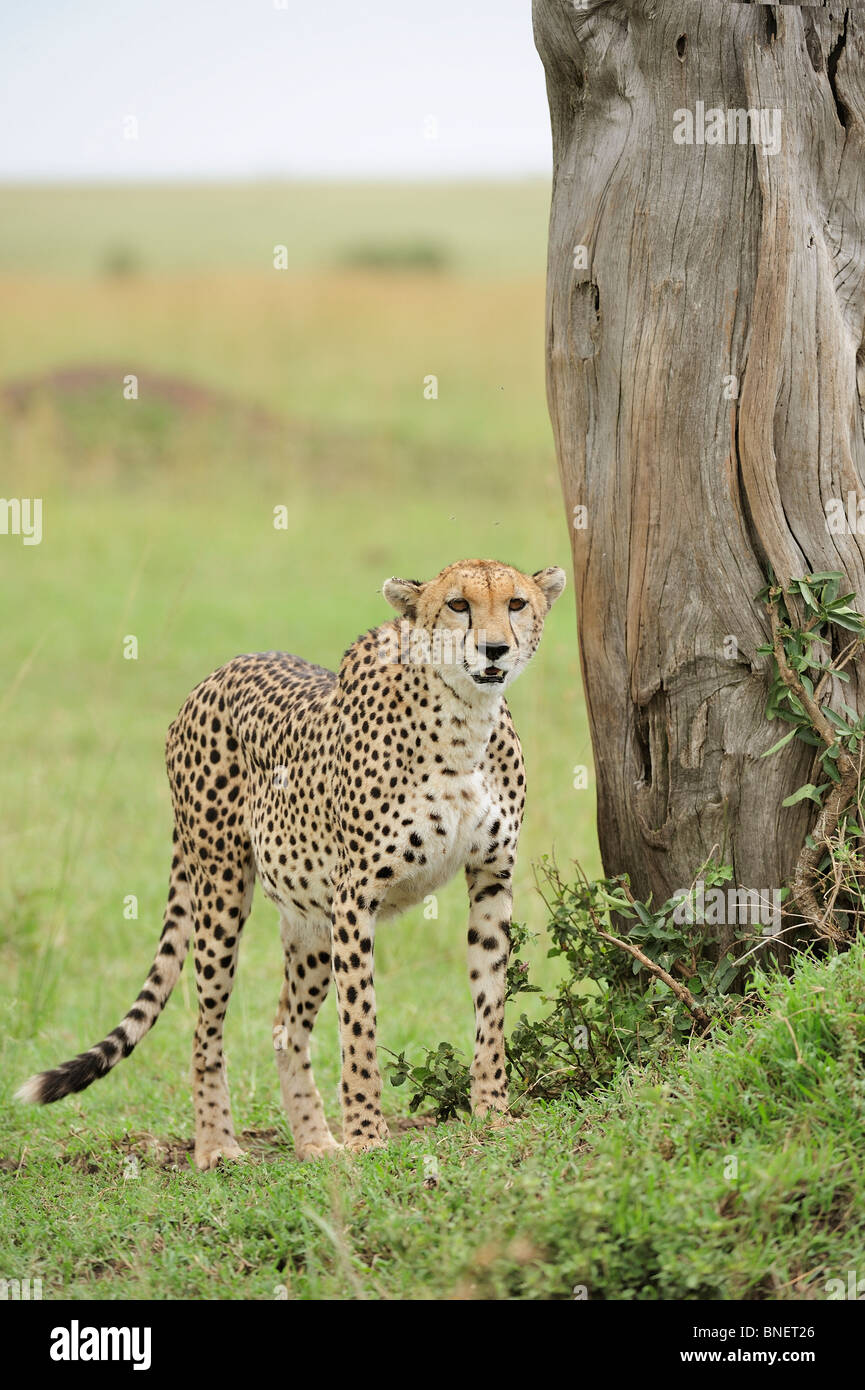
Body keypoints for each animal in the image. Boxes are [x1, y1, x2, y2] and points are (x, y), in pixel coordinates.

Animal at [17, 557, 566, 1169]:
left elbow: (490, 1006)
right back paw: (218, 1146)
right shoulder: (356, 896)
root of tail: (219, 672)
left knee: (285, 1027)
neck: (466, 718)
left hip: (310, 923)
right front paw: (367, 1136)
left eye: (516, 603)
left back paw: (314, 1141)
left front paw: (492, 1113)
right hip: (222, 892)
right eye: (457, 605)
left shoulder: (491, 877)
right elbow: (360, 1026)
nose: (495, 649)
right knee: (205, 1029)